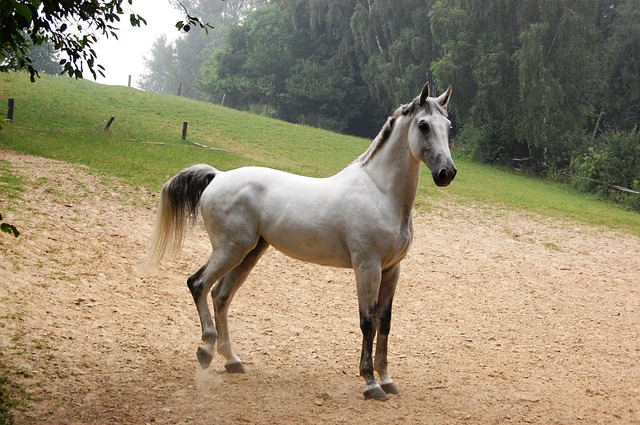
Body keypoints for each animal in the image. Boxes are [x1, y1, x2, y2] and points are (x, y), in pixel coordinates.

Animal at [147, 83, 456, 401]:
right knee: (198, 284)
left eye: (448, 126)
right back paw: (206, 349)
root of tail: (218, 176)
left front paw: (386, 379)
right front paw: (371, 384)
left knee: (221, 296)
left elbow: (385, 322)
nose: (447, 173)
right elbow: (367, 322)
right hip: (230, 250)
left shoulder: (392, 269)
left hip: (249, 253)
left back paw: (232, 360)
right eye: (423, 125)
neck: (378, 191)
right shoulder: (367, 267)